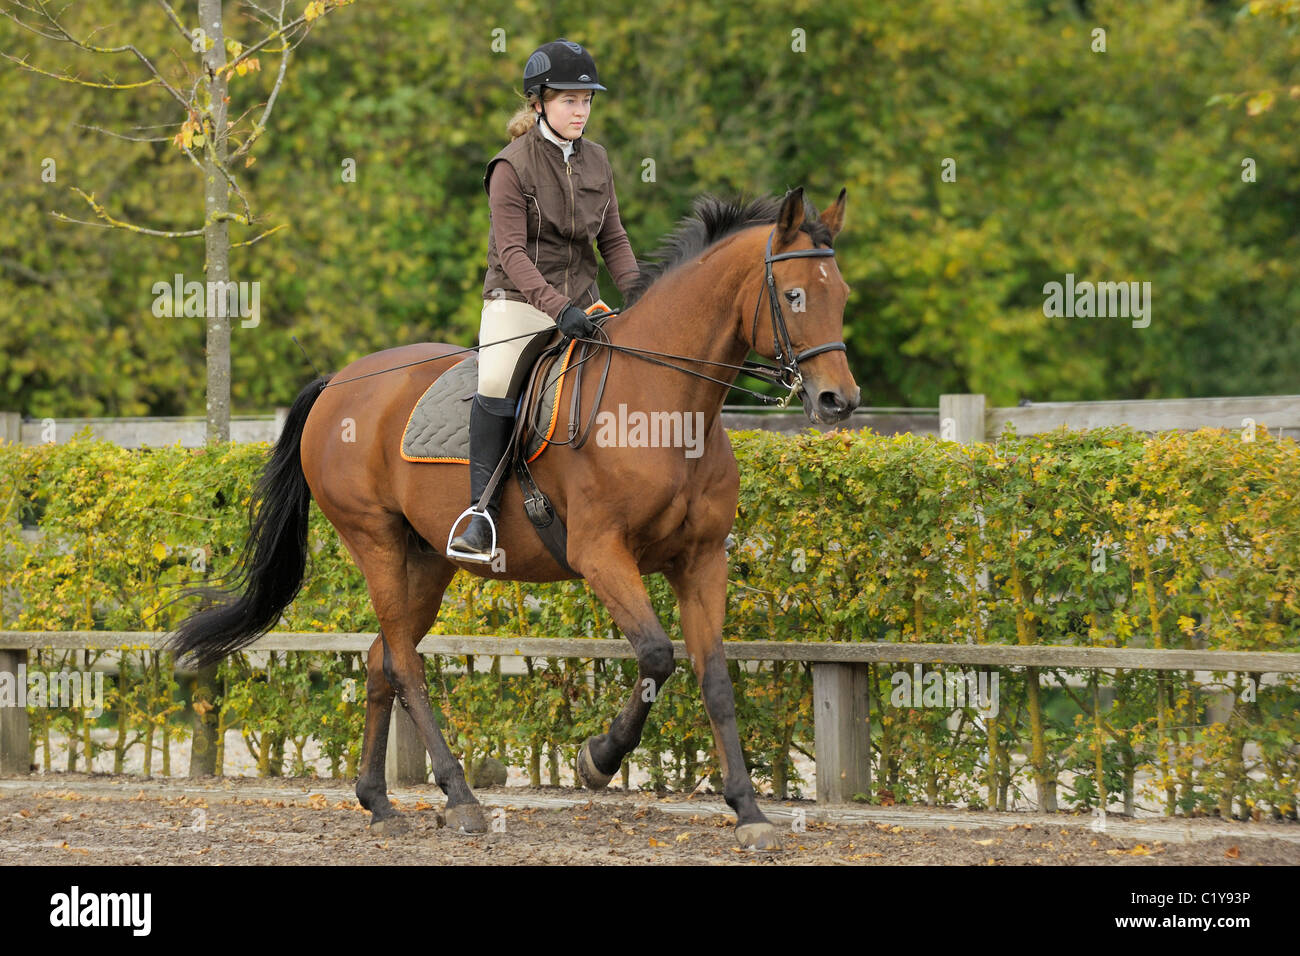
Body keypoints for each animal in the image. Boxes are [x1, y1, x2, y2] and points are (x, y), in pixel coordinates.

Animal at [169, 186, 859, 850]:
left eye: (842, 295)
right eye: (794, 295)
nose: (839, 401)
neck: (668, 407)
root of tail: (340, 381)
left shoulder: (702, 560)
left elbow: (714, 676)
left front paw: (749, 813)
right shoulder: (601, 554)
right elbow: (657, 655)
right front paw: (597, 760)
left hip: (428, 561)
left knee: (382, 659)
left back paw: (380, 804)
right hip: (376, 540)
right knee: (406, 665)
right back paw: (461, 800)